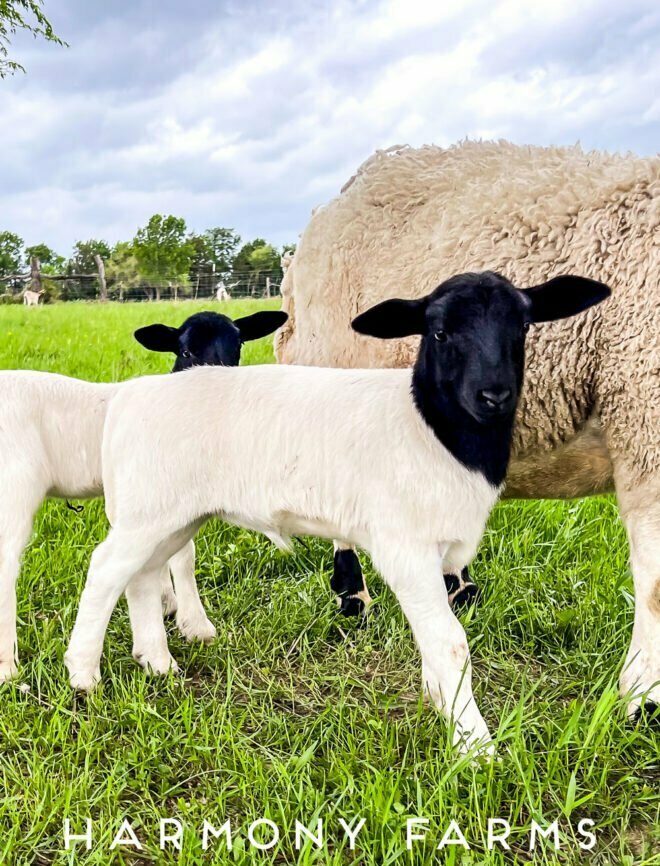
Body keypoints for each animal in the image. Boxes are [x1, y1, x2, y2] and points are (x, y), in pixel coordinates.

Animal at [0, 309, 287, 683]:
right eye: (185, 351)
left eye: (237, 346)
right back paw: (7, 666)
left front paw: (168, 604)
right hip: (14, 488)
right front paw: (193, 623)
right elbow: (182, 556)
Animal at [62, 271, 609, 754]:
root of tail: (127, 397)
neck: (431, 427)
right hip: (148, 511)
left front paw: (440, 703)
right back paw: (83, 673)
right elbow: (450, 643)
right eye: (438, 331)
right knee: (106, 569)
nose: (494, 395)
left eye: (523, 326)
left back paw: (156, 661)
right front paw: (476, 749)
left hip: (170, 513)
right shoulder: (405, 546)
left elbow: (434, 639)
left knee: (143, 574)